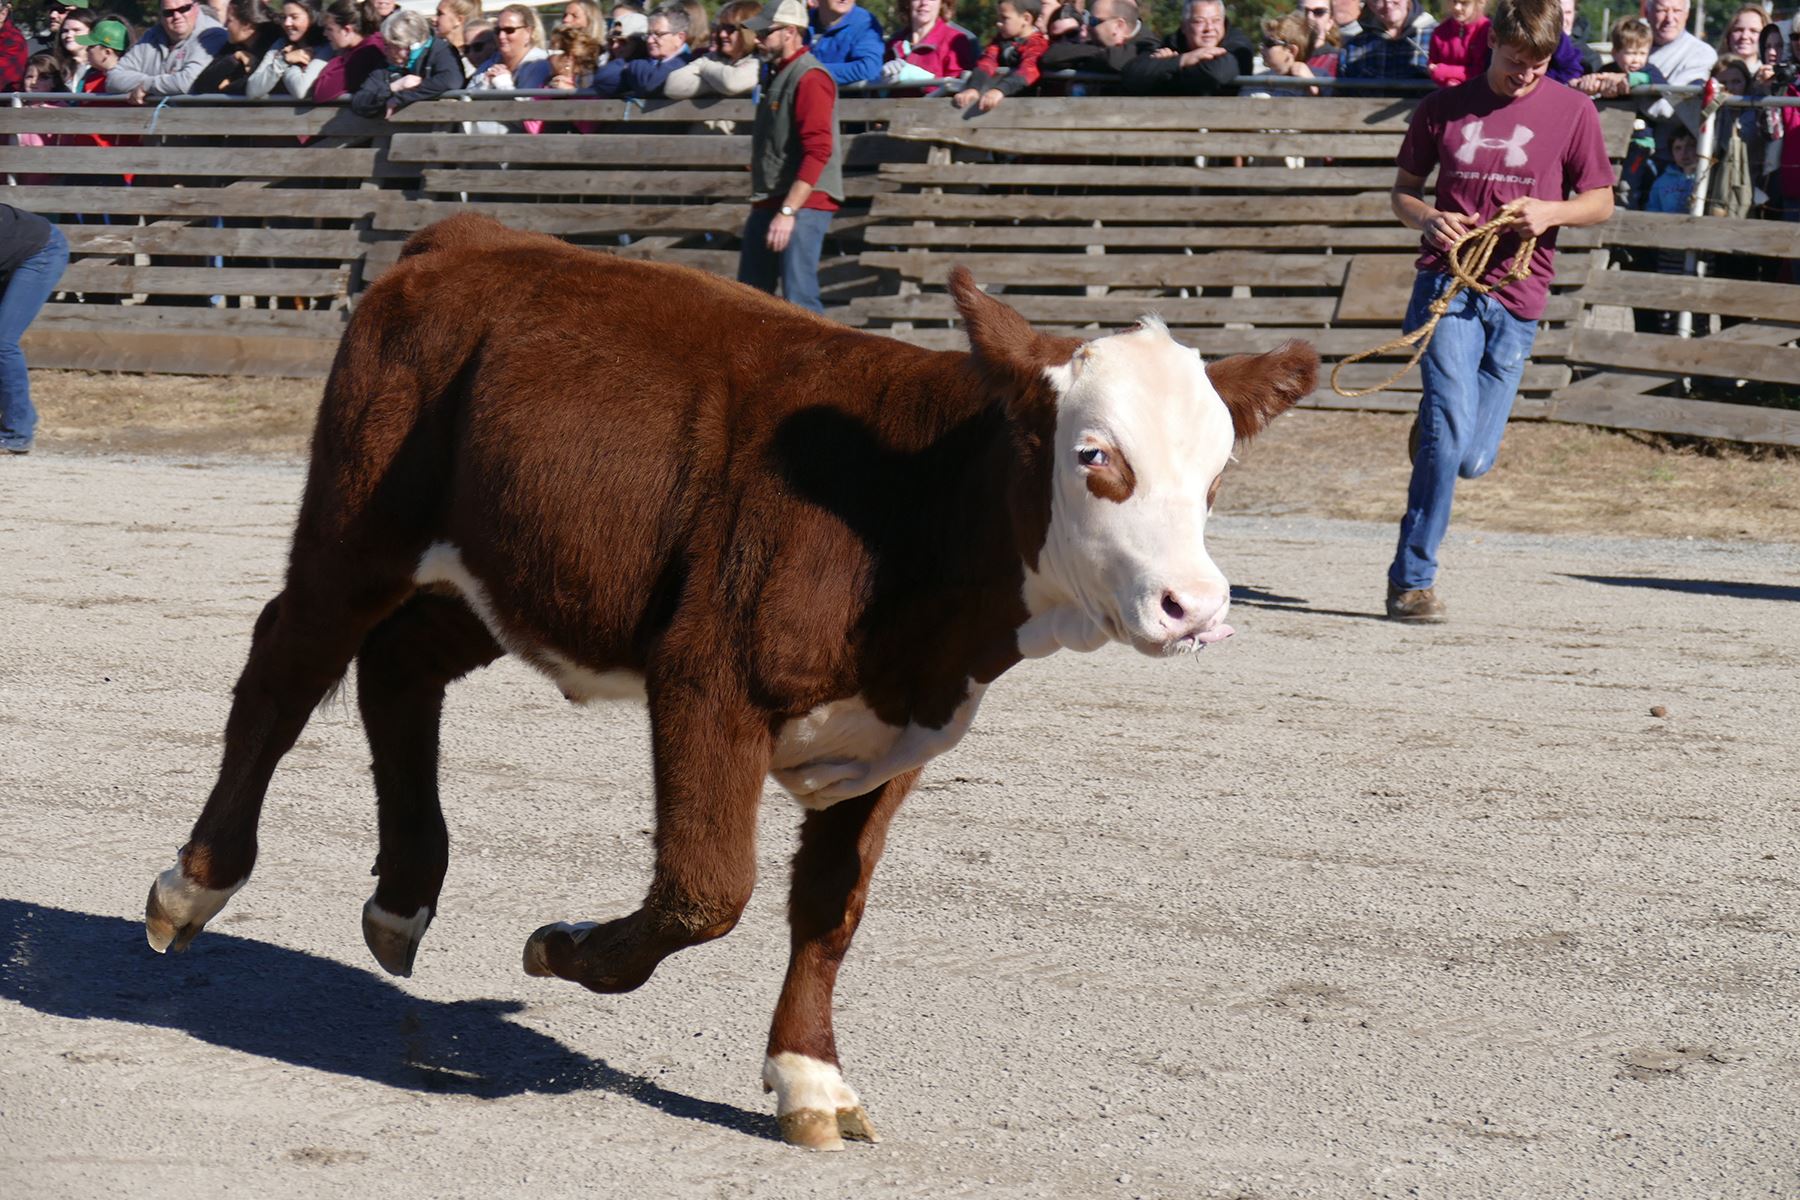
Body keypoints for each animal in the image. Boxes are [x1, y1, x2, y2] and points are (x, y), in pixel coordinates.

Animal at [142, 214, 1316, 1151]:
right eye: (1094, 456)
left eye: (1218, 473)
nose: (1195, 606)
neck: (912, 506)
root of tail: (469, 237)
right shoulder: (709, 683)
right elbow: (709, 889)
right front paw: (564, 949)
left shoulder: (896, 738)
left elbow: (830, 909)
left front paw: (810, 1078)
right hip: (357, 530)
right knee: (285, 671)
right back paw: (194, 884)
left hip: (504, 576)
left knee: (398, 672)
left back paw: (401, 902)